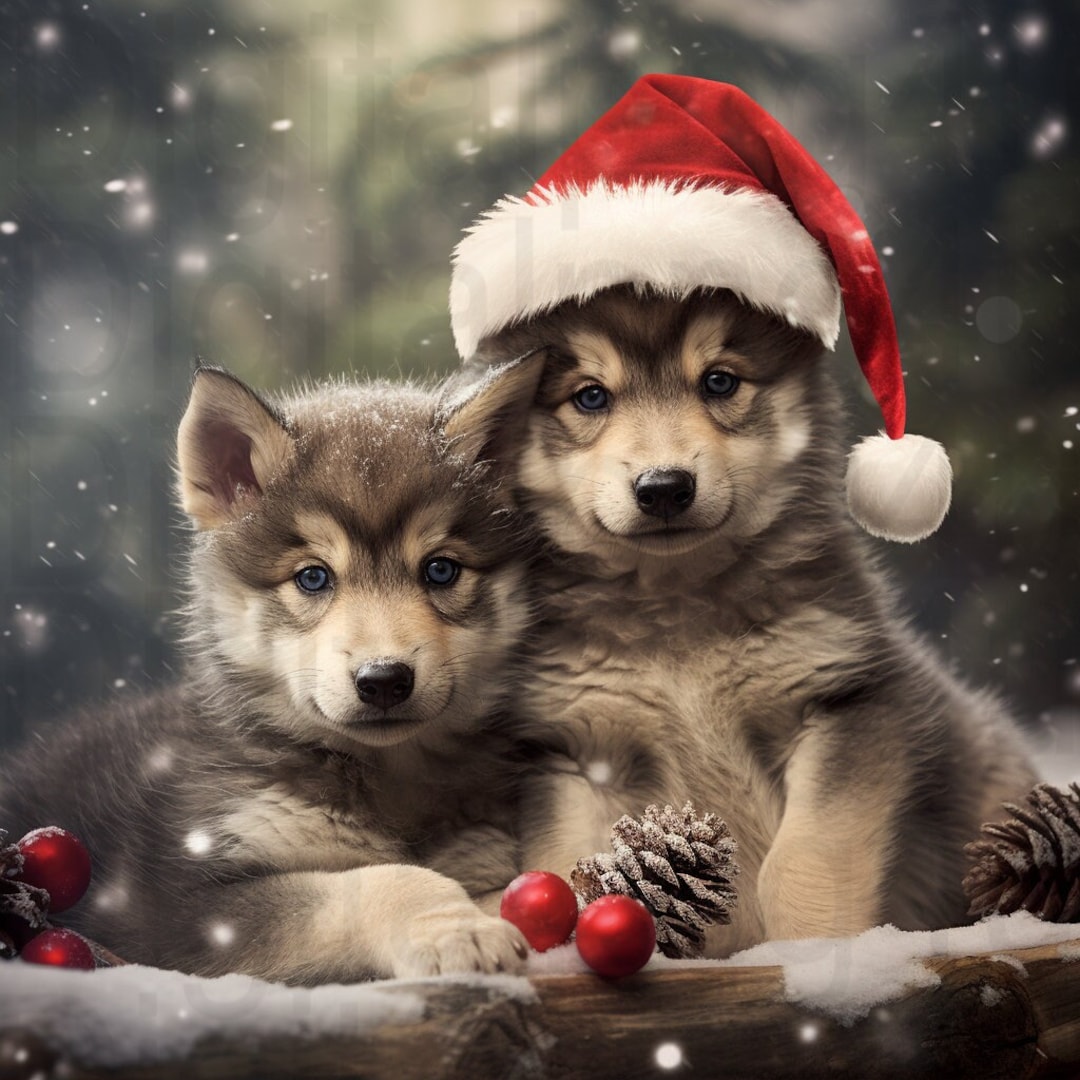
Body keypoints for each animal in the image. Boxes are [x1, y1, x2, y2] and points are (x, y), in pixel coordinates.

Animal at [0, 360, 544, 984]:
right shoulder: (177, 914)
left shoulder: (483, 852)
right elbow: (369, 883)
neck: (383, 779)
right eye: (312, 577)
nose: (384, 679)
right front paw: (453, 927)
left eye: (440, 570)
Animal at [466, 286, 1037, 955]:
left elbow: (803, 861)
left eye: (719, 381)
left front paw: (816, 952)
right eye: (590, 396)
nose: (664, 487)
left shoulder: (846, 701)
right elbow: (566, 867)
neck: (675, 610)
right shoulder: (572, 754)